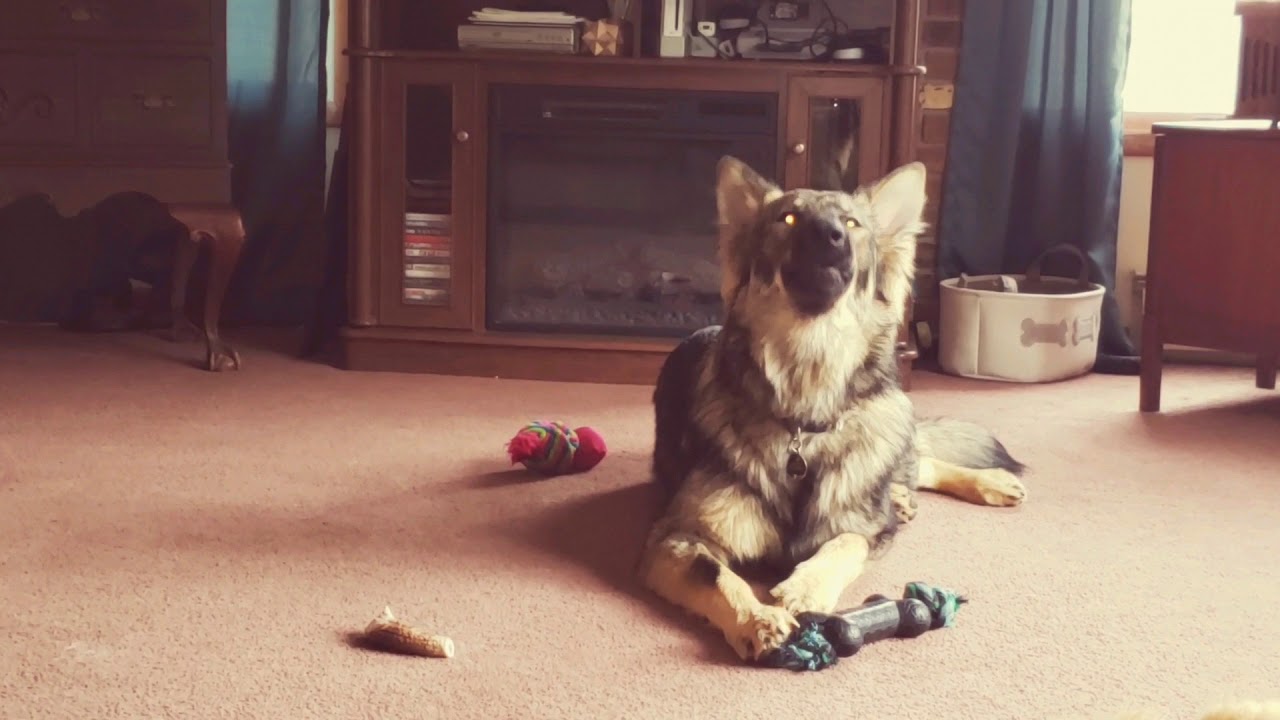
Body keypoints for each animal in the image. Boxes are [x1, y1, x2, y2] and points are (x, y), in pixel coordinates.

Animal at [639, 156, 1028, 663]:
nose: (829, 235)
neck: (805, 415)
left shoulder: (862, 528)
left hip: (893, 421)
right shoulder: (677, 539)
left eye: (852, 223)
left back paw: (981, 484)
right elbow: (717, 576)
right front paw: (757, 619)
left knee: (917, 460)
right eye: (788, 219)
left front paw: (806, 589)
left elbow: (848, 542)